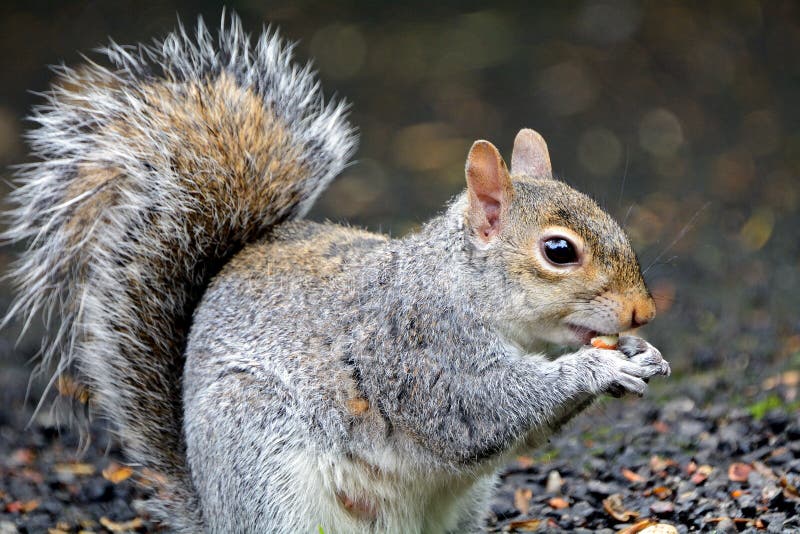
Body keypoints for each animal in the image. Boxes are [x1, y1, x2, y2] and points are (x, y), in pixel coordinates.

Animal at [5, 12, 670, 534]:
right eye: (559, 251)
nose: (643, 312)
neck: (462, 286)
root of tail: (212, 511)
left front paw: (642, 355)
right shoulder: (418, 348)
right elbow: (480, 409)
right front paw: (595, 367)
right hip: (261, 460)